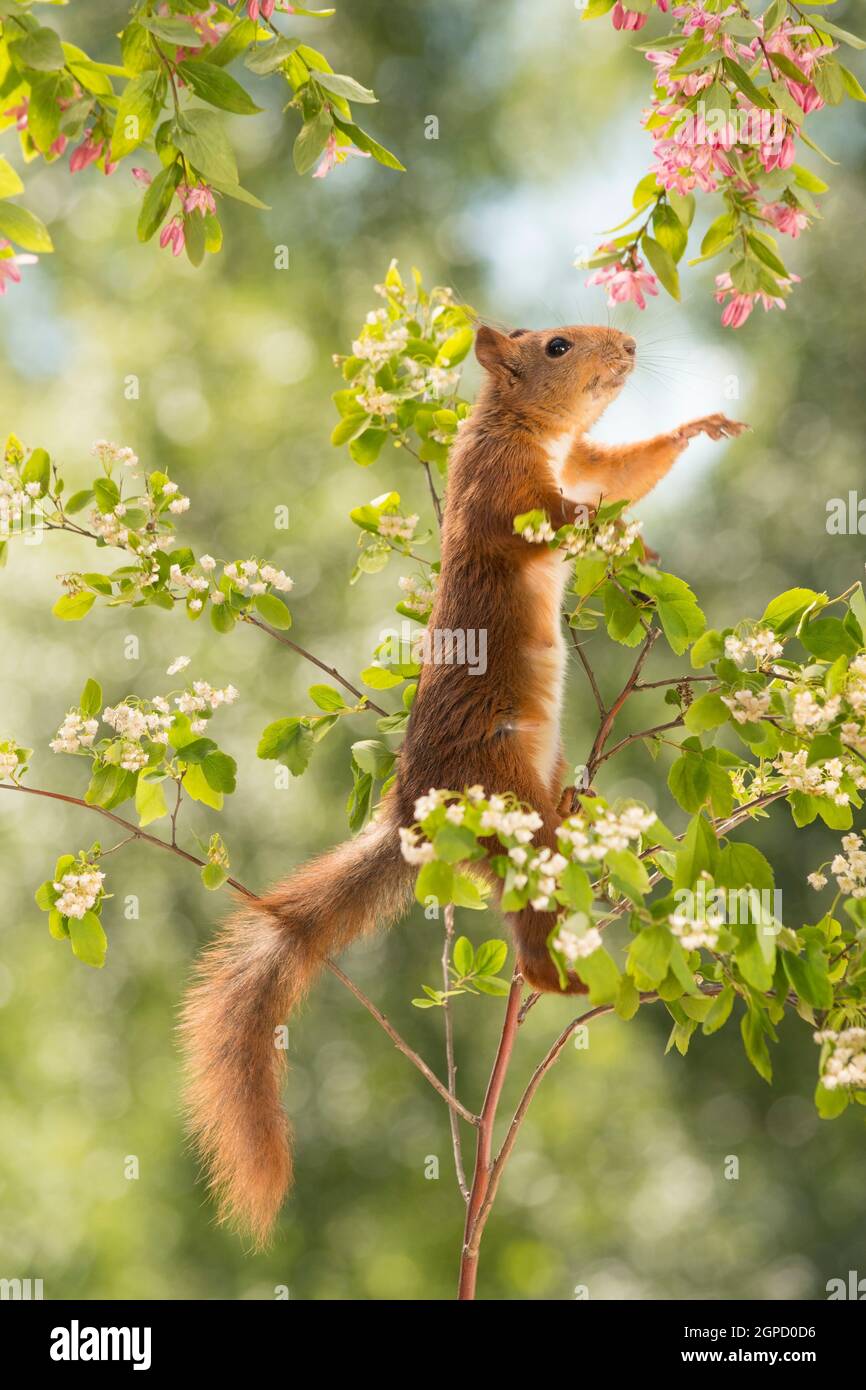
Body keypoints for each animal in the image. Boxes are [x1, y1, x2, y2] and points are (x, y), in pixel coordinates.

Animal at [181, 324, 747, 1245]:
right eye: (557, 345)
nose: (629, 343)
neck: (522, 427)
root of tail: (415, 810)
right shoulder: (500, 491)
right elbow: (552, 522)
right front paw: (629, 540)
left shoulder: (579, 458)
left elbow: (619, 470)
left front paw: (695, 430)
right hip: (509, 817)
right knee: (532, 937)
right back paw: (572, 982)